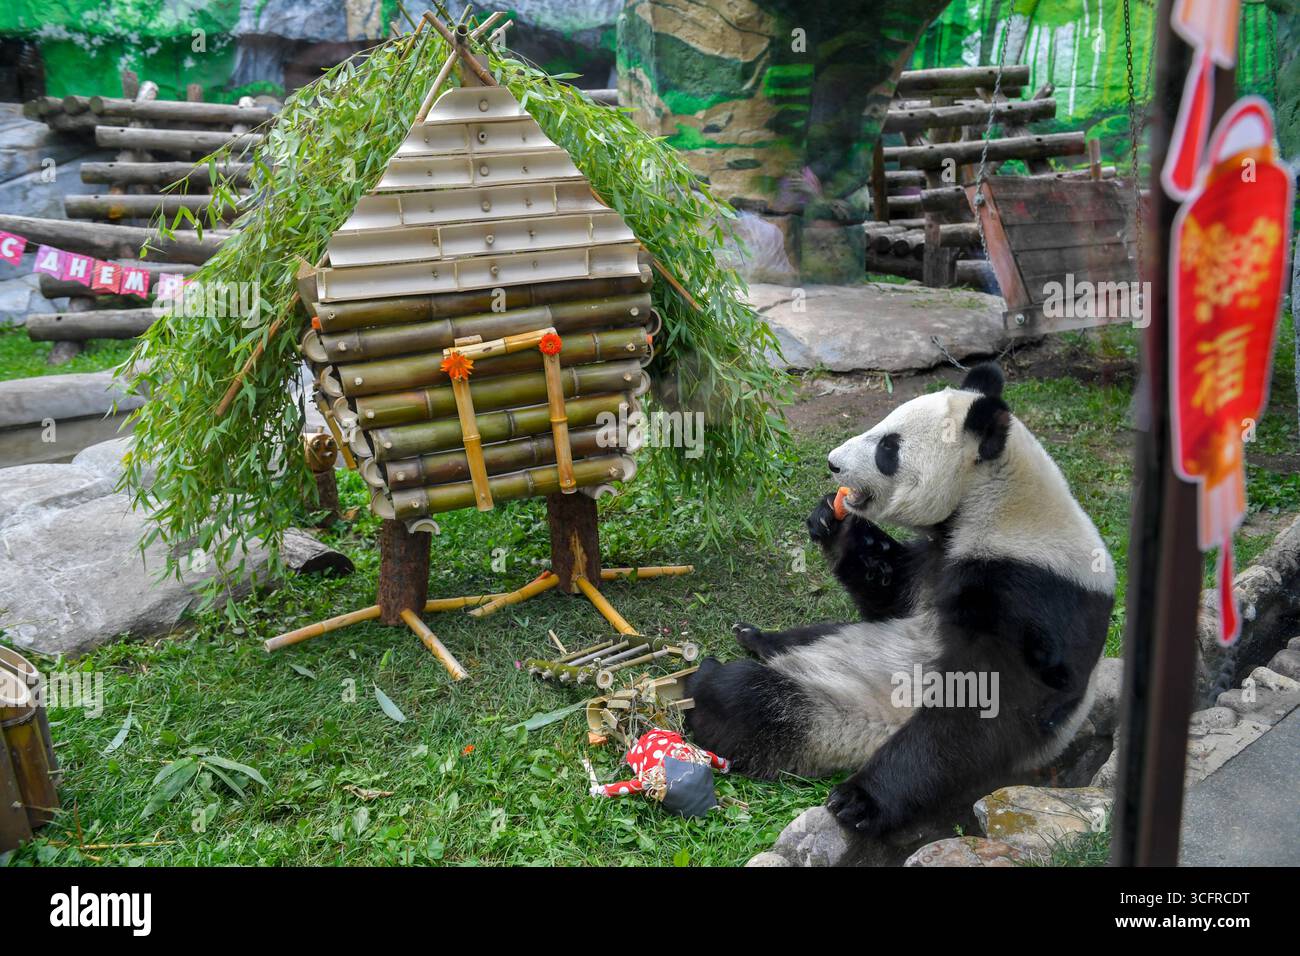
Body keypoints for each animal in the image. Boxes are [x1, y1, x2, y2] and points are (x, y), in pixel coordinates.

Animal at [684, 363, 1114, 835]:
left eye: (888, 448)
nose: (833, 463)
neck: (995, 502)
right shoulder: (940, 557)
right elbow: (891, 593)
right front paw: (832, 520)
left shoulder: (1030, 595)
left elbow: (983, 705)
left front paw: (857, 800)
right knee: (826, 634)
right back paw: (756, 637)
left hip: (849, 718)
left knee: (760, 702)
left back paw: (710, 680)